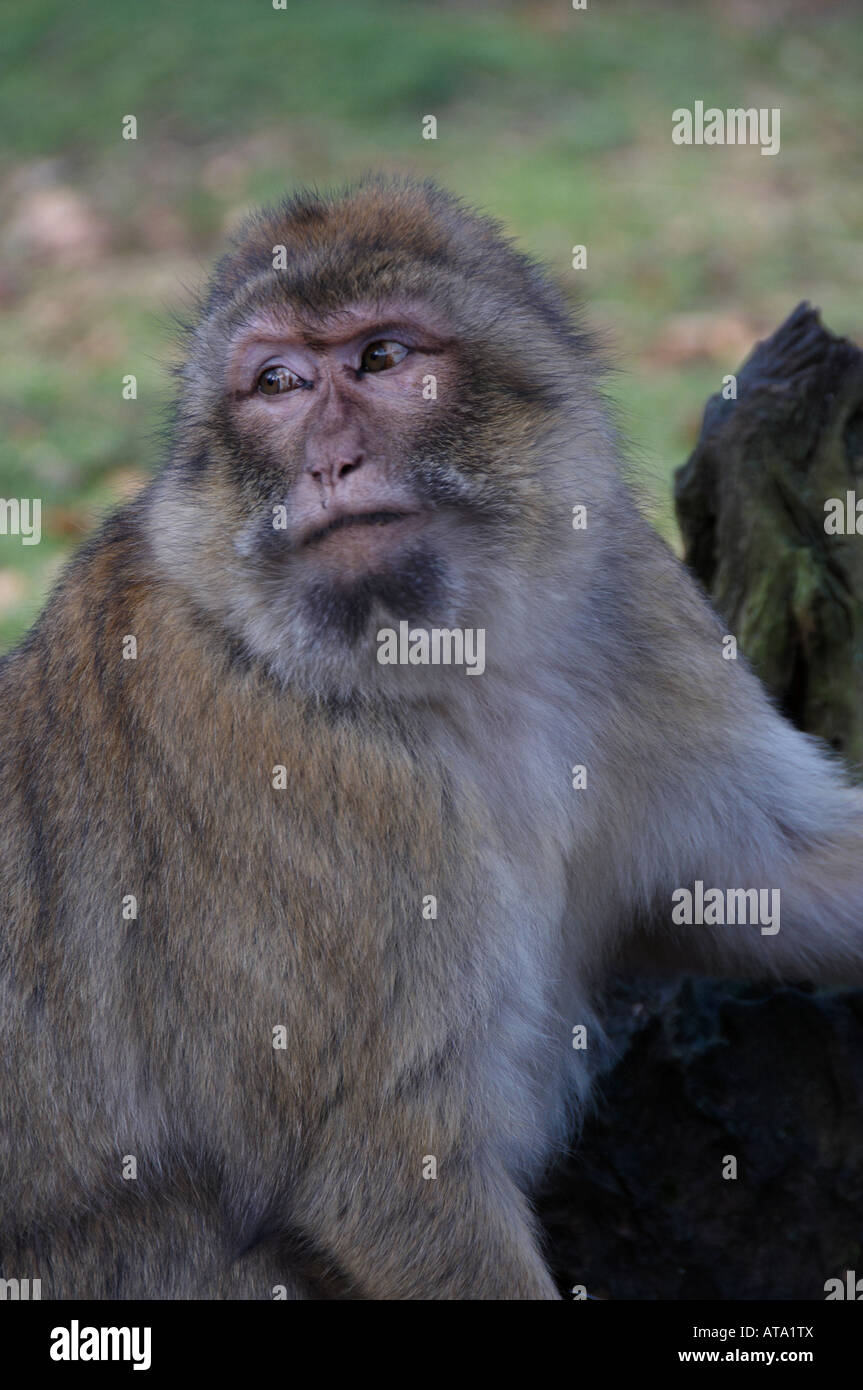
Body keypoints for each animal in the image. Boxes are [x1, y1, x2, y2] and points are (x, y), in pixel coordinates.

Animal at [1, 175, 862, 1301]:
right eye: (276, 383)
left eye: (379, 357)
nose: (331, 460)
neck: (453, 666)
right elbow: (384, 1169)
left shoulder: (633, 608)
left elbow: (779, 874)